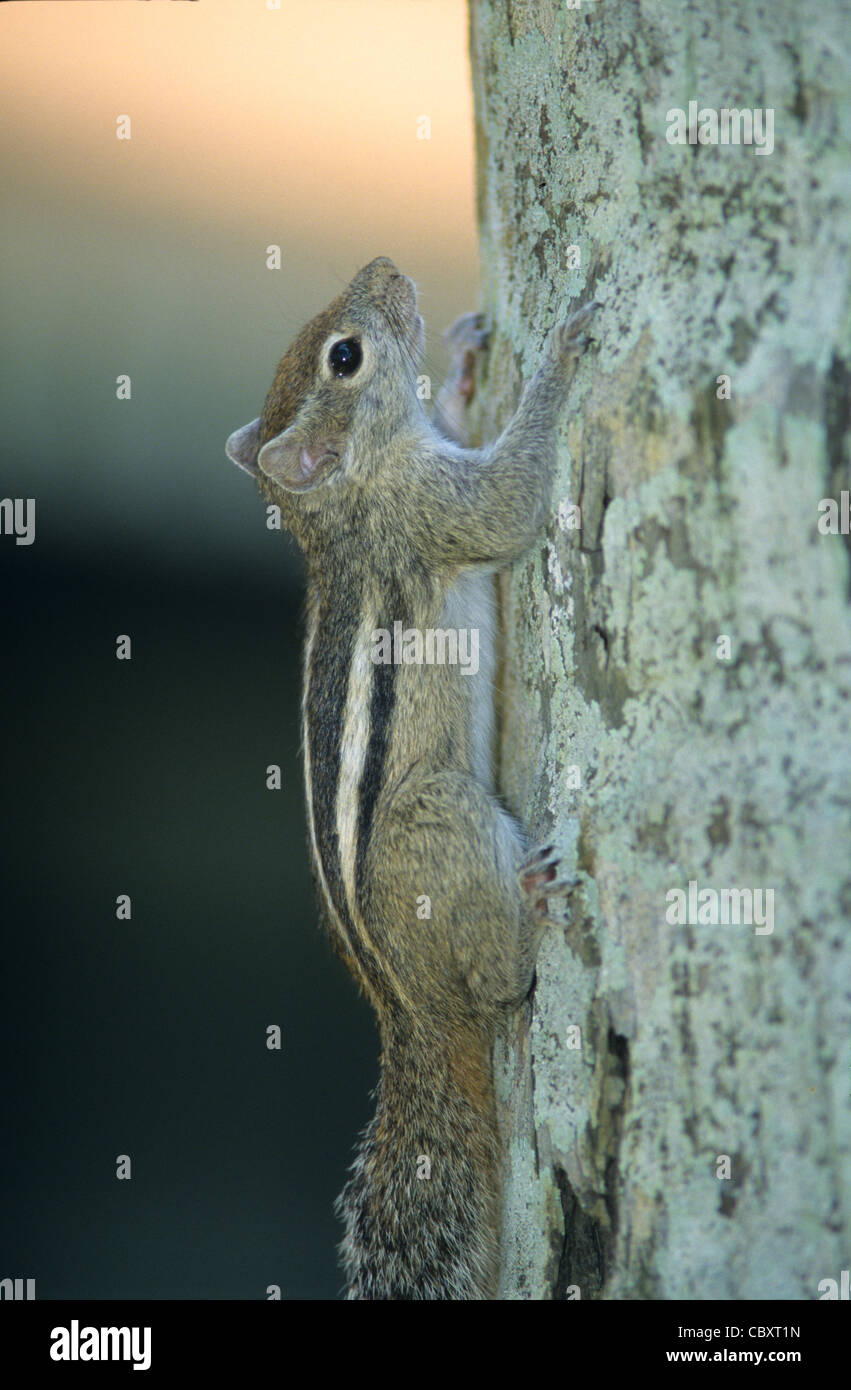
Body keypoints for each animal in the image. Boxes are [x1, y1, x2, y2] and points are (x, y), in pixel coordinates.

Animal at [225, 257, 597, 1299]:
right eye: (344, 358)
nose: (385, 267)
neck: (341, 500)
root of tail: (405, 1009)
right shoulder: (433, 504)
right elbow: (508, 499)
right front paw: (557, 358)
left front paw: (470, 367)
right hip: (438, 815)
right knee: (502, 985)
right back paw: (530, 908)